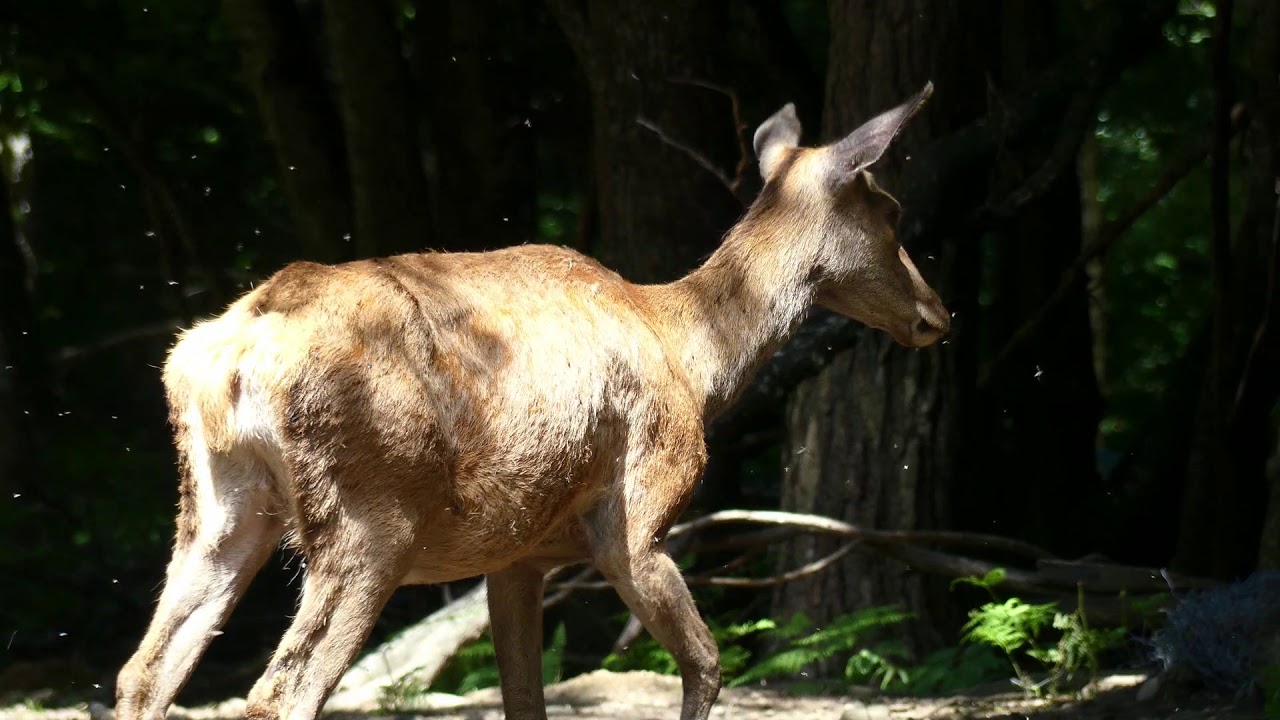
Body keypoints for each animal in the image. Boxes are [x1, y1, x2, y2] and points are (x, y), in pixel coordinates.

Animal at [114, 83, 948, 720]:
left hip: (221, 508)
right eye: (891, 212)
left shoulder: (516, 556)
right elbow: (708, 664)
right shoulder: (637, 518)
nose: (938, 313)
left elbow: (526, 697)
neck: (694, 355)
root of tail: (229, 356)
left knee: (143, 674)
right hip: (371, 518)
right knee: (279, 692)